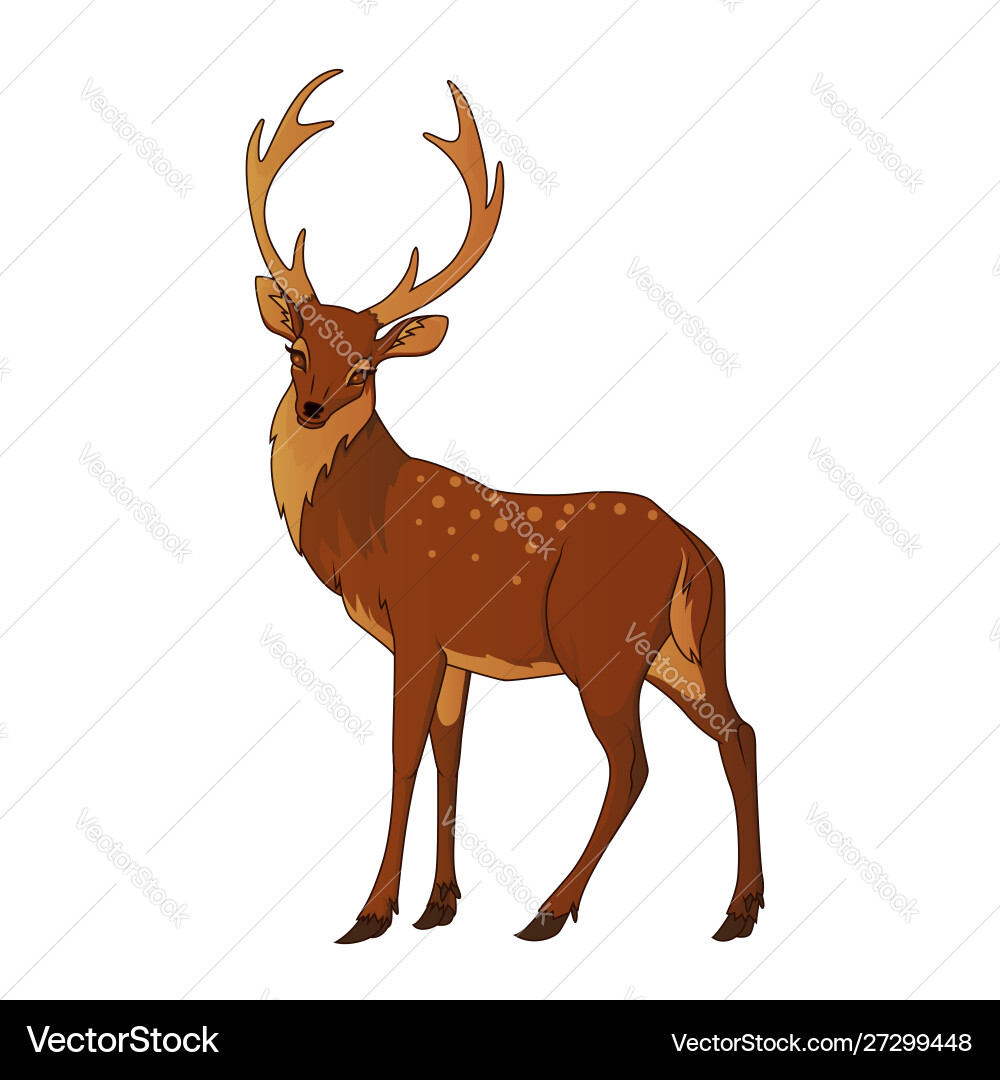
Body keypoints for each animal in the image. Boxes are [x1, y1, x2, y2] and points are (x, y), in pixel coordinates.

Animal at [246, 70, 763, 944]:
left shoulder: (416, 628)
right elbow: (451, 758)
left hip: (602, 645)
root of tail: (696, 549)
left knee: (633, 763)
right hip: (681, 647)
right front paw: (439, 906)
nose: (312, 410)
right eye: (294, 348)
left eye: (365, 367)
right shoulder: (458, 655)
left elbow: (403, 756)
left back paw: (552, 909)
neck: (366, 529)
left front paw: (372, 912)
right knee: (739, 730)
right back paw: (740, 911)